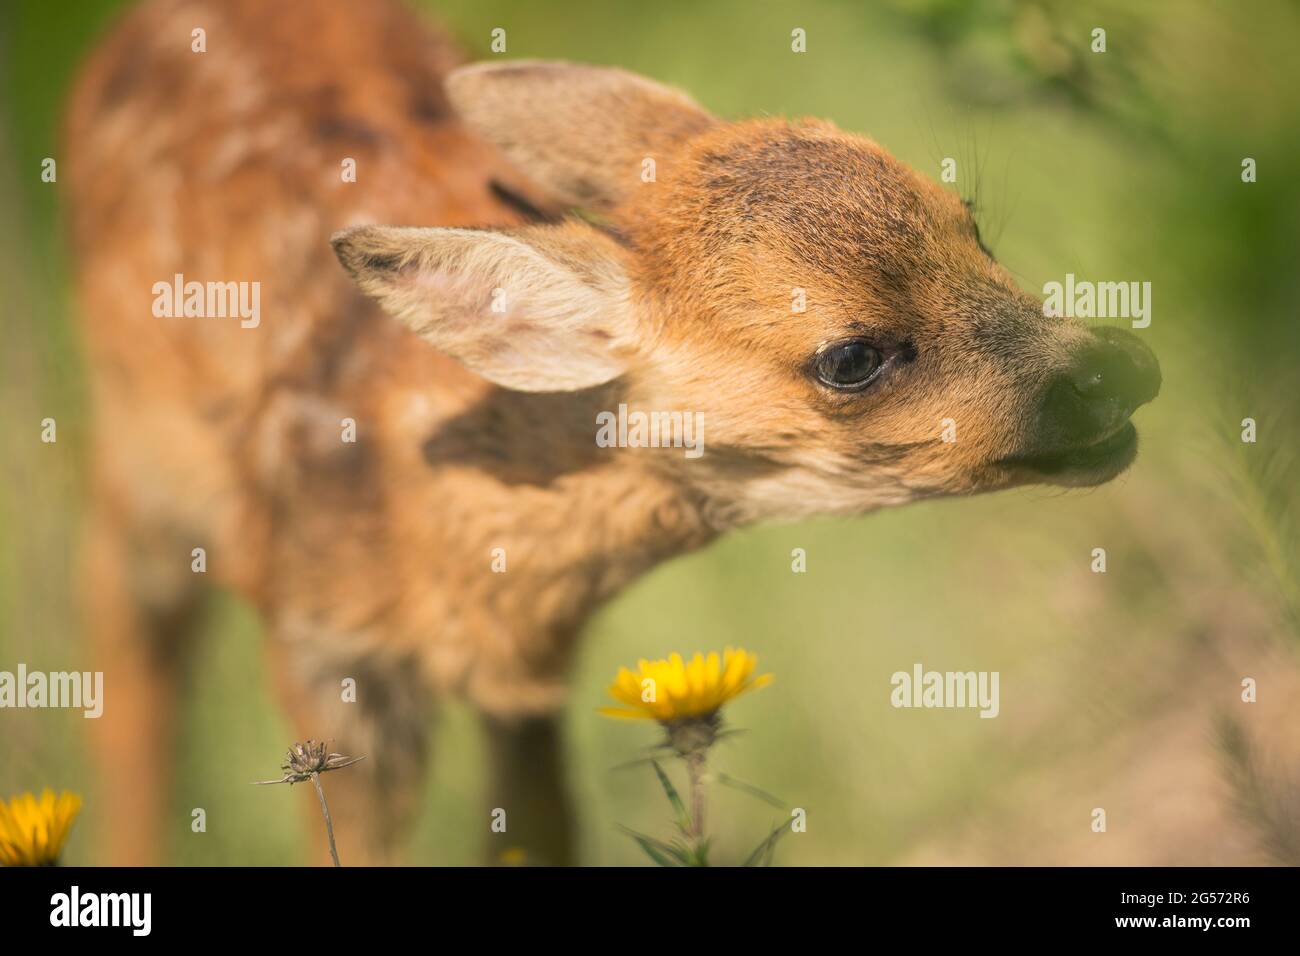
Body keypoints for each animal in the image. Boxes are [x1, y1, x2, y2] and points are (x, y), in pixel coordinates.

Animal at [63, 0, 1160, 866]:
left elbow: (538, 835)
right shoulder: (325, 653)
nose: (1125, 367)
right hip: (135, 493)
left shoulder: (530, 679)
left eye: (968, 221)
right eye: (851, 355)